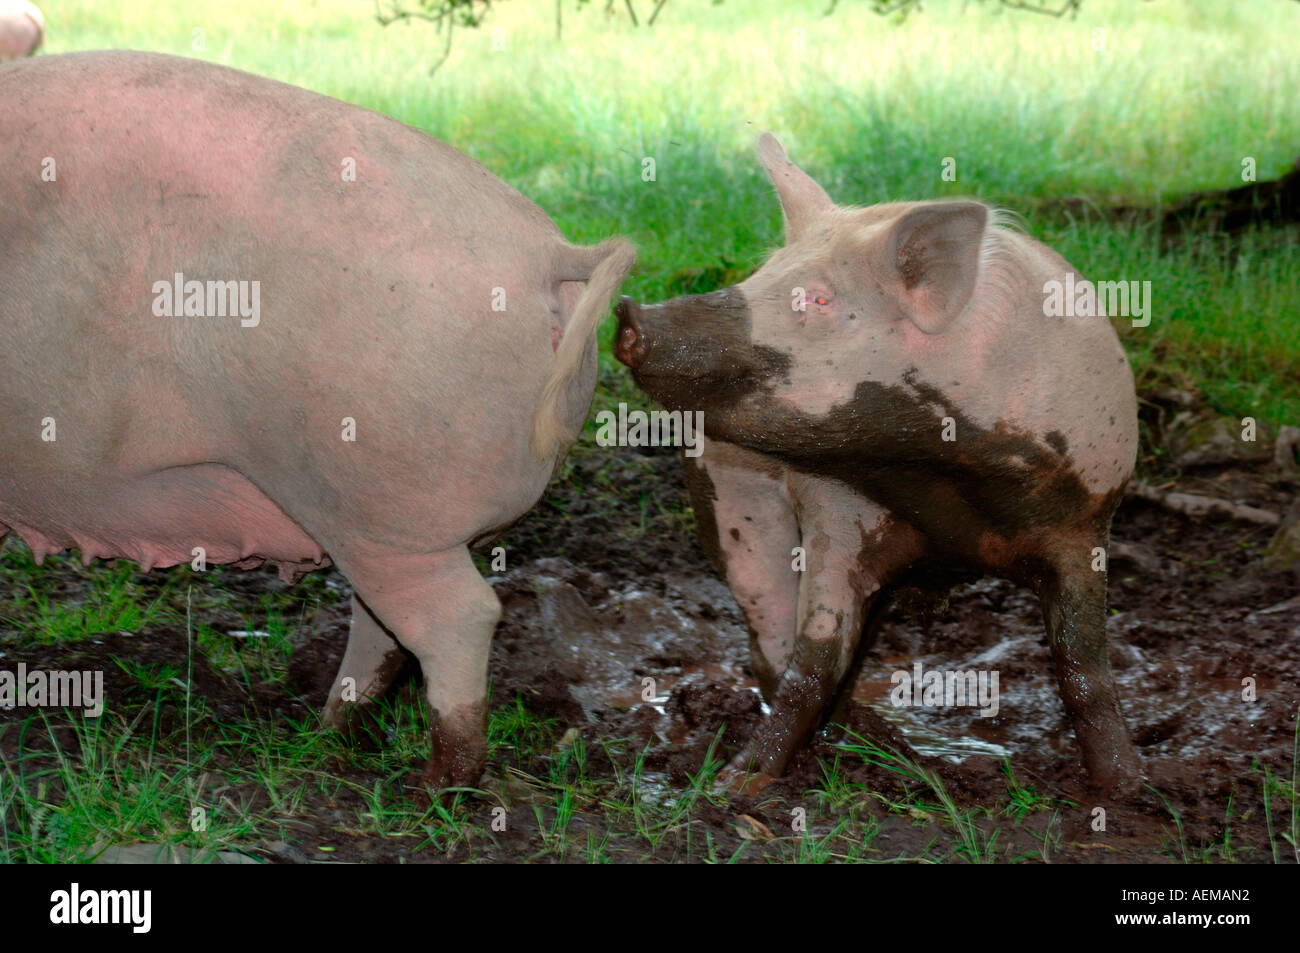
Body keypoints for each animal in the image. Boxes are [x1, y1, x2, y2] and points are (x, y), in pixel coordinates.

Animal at [0, 51, 634, 792]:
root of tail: (549, 252)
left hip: (381, 503)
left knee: (457, 618)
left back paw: (436, 784)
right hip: (378, 520)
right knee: (384, 623)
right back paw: (332, 734)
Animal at [616, 134, 1141, 793]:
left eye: (819, 298)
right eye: (763, 273)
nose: (629, 312)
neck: (943, 480)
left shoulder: (1086, 515)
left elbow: (1083, 667)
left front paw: (1129, 787)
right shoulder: (836, 511)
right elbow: (815, 658)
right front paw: (737, 786)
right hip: (727, 493)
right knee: (768, 627)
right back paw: (861, 738)